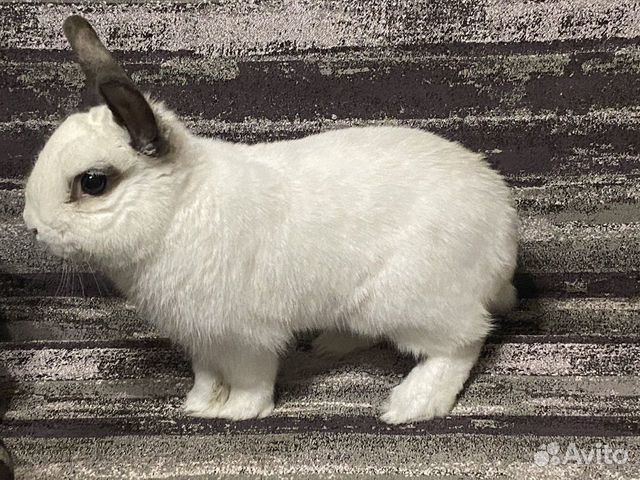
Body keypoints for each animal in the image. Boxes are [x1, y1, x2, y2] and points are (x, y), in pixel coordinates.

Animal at [22, 15, 519, 424]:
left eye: (93, 182)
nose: (32, 226)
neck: (178, 207)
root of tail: (504, 235)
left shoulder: (245, 335)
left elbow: (250, 379)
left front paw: (238, 412)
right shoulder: (201, 339)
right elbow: (207, 376)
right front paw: (198, 405)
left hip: (411, 300)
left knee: (463, 343)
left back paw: (411, 404)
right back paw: (329, 345)